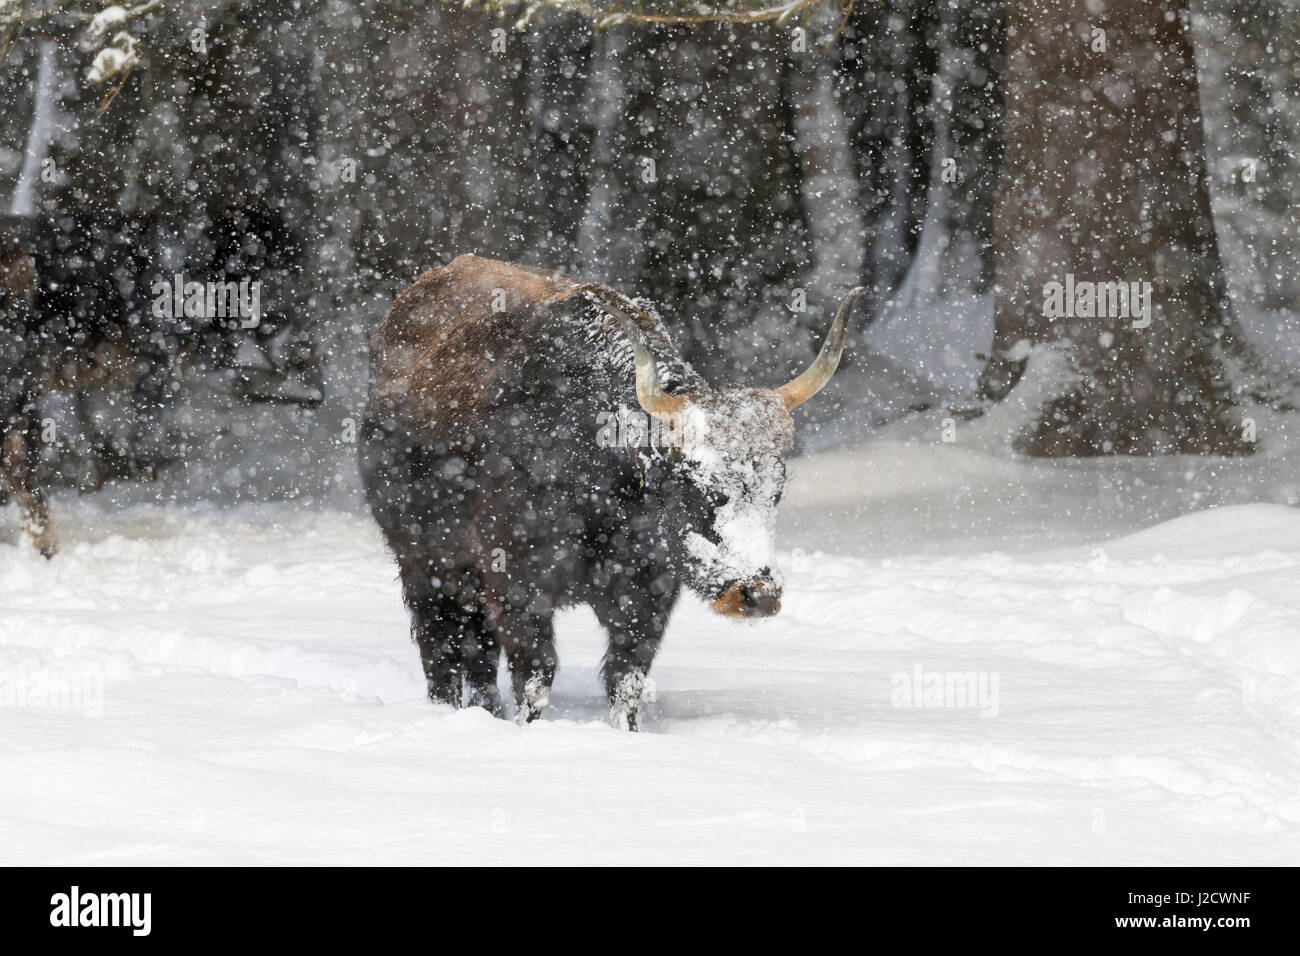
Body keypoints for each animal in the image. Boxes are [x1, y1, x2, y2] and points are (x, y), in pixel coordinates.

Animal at [360, 254, 863, 730]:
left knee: (477, 654)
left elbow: (626, 679)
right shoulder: (517, 582)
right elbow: (536, 675)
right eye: (694, 486)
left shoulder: (646, 594)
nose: (758, 594)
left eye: (775, 491)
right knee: (442, 648)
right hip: (424, 564)